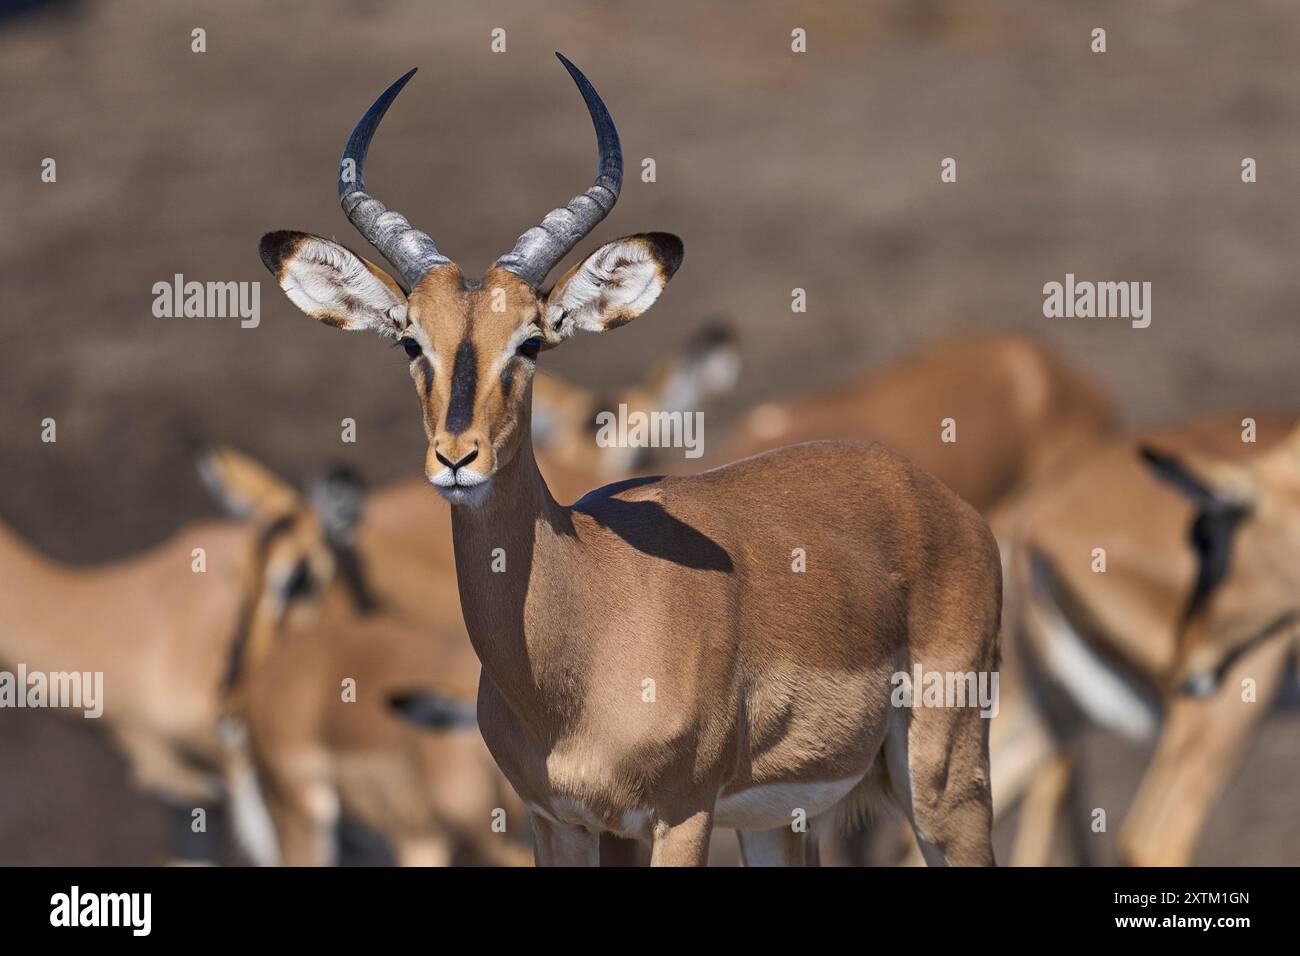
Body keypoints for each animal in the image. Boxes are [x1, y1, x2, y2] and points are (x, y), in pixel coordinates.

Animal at [259, 53, 1003, 866]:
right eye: (409, 340)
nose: (458, 458)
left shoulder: (681, 814)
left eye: (531, 340)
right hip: (777, 819)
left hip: (944, 783)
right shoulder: (566, 821)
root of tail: (940, 501)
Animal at [997, 412, 1300, 865]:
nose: (1183, 663)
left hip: (1053, 714)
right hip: (1225, 705)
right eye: (1199, 539)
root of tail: (1026, 514)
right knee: (1153, 838)